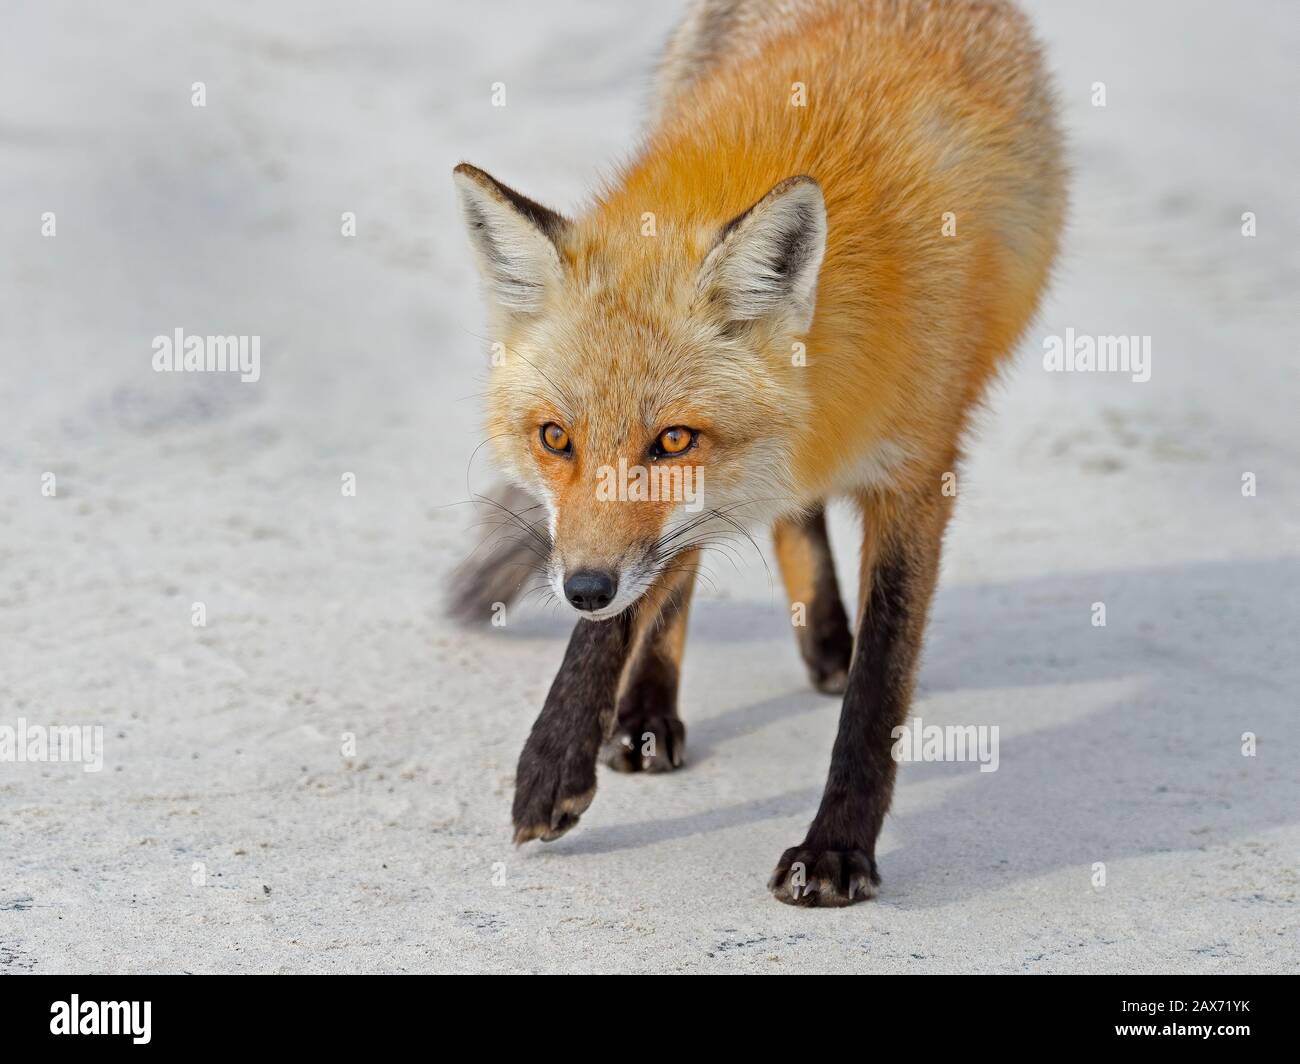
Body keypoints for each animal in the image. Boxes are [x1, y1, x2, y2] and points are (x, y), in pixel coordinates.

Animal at [451, 0, 1065, 906]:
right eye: (555, 438)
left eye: (672, 439)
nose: (580, 589)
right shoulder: (635, 531)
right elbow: (620, 617)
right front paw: (553, 762)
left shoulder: (919, 475)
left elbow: (879, 685)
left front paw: (838, 847)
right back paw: (647, 711)